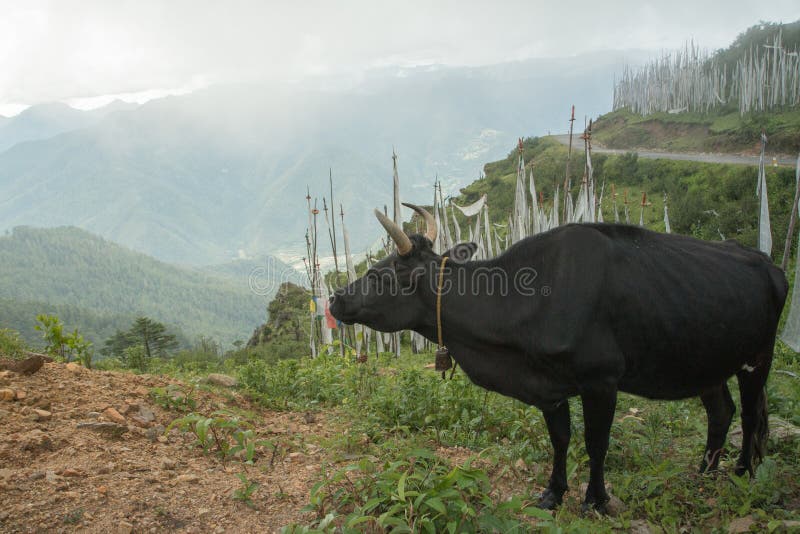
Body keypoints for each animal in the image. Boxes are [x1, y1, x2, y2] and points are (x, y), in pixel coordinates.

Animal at [329, 203, 788, 513]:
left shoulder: (602, 382)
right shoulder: (548, 387)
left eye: (380, 273)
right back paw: (704, 474)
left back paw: (742, 474)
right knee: (721, 412)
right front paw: (553, 493)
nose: (335, 298)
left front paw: (595, 500)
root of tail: (767, 262)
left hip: (758, 358)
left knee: (750, 416)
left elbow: (596, 442)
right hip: (706, 363)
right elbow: (561, 439)